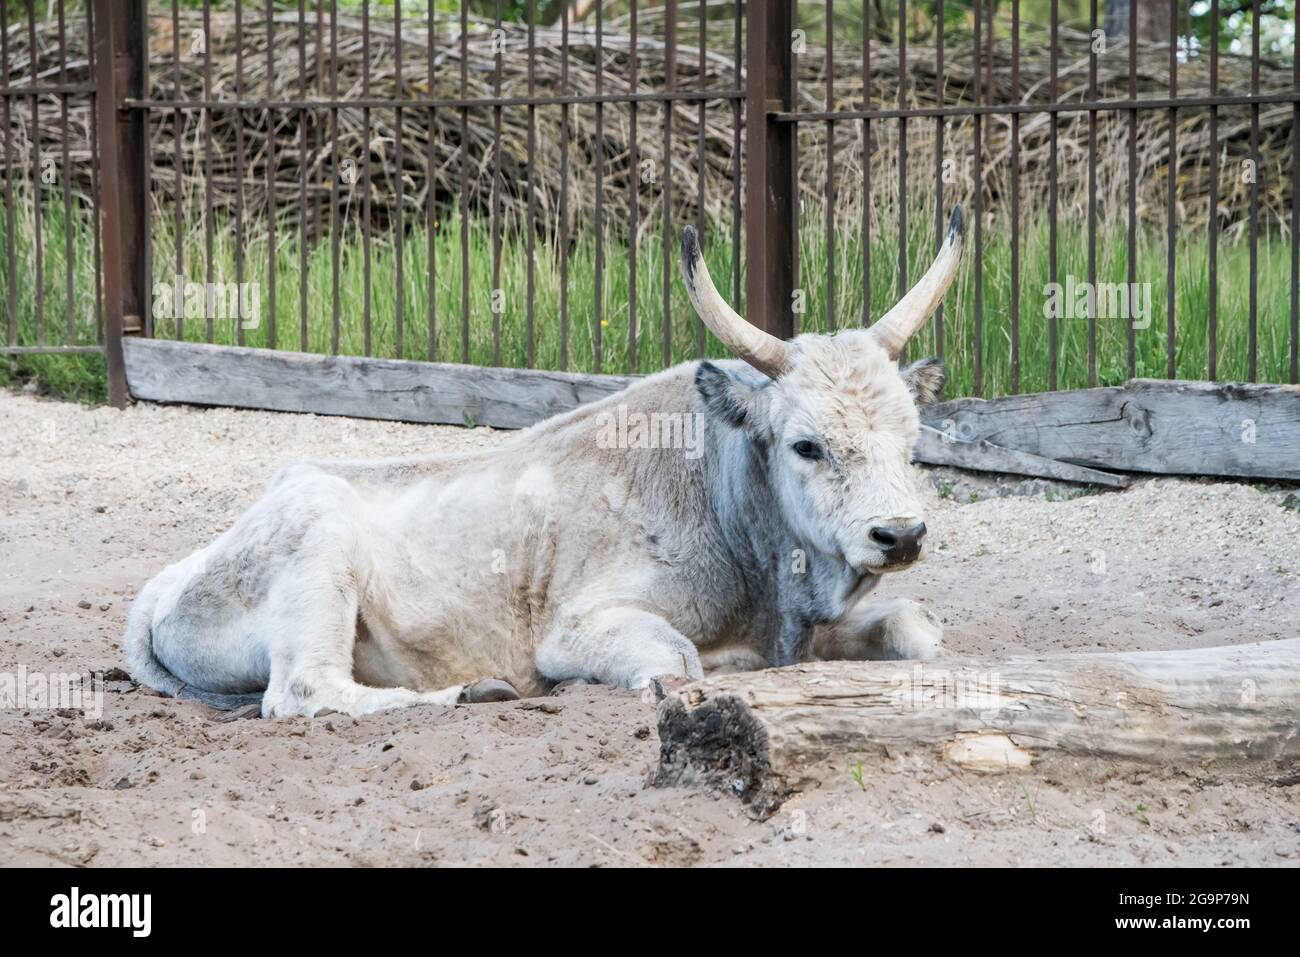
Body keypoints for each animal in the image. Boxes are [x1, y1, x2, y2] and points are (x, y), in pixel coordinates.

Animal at [124, 207, 965, 718]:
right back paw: (474, 692)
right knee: (307, 689)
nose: (900, 535)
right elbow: (678, 662)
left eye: (909, 436)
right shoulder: (580, 630)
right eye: (806, 444)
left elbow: (920, 629)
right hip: (319, 548)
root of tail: (173, 579)